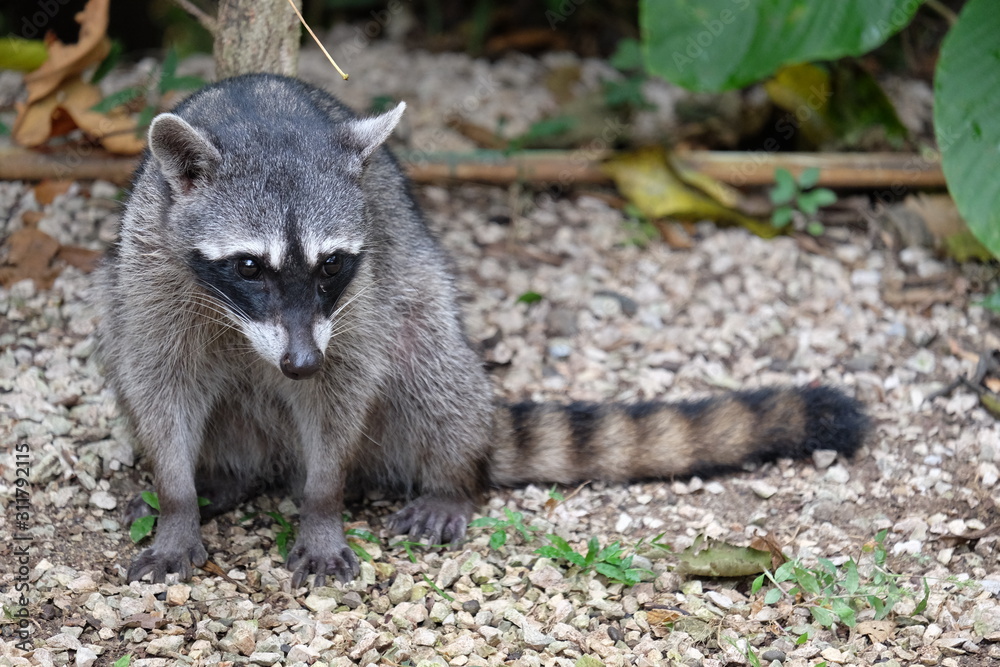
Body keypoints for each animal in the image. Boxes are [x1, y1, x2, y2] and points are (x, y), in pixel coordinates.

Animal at [97, 73, 867, 588]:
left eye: (331, 263)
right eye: (250, 265)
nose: (299, 364)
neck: (260, 121)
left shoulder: (354, 307)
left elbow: (342, 400)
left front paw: (320, 506)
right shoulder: (154, 277)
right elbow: (157, 388)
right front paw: (178, 501)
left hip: (416, 308)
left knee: (430, 370)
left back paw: (448, 476)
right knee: (127, 370)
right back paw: (222, 474)